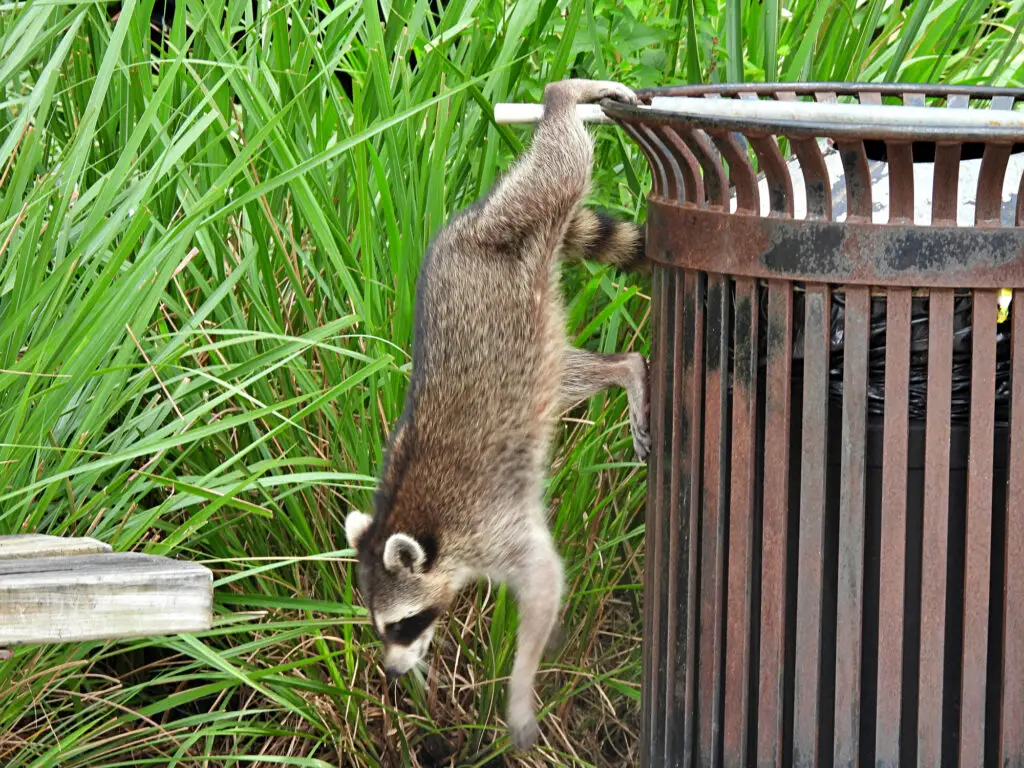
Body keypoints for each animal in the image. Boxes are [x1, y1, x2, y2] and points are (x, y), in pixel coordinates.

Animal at [344, 79, 649, 751]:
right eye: (382, 627)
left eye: (403, 624)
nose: (392, 671)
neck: (414, 519)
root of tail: (472, 222)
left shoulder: (488, 527)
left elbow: (544, 580)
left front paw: (520, 686)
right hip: (535, 350)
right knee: (576, 376)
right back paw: (628, 369)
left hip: (534, 201)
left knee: (563, 159)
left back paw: (565, 94)